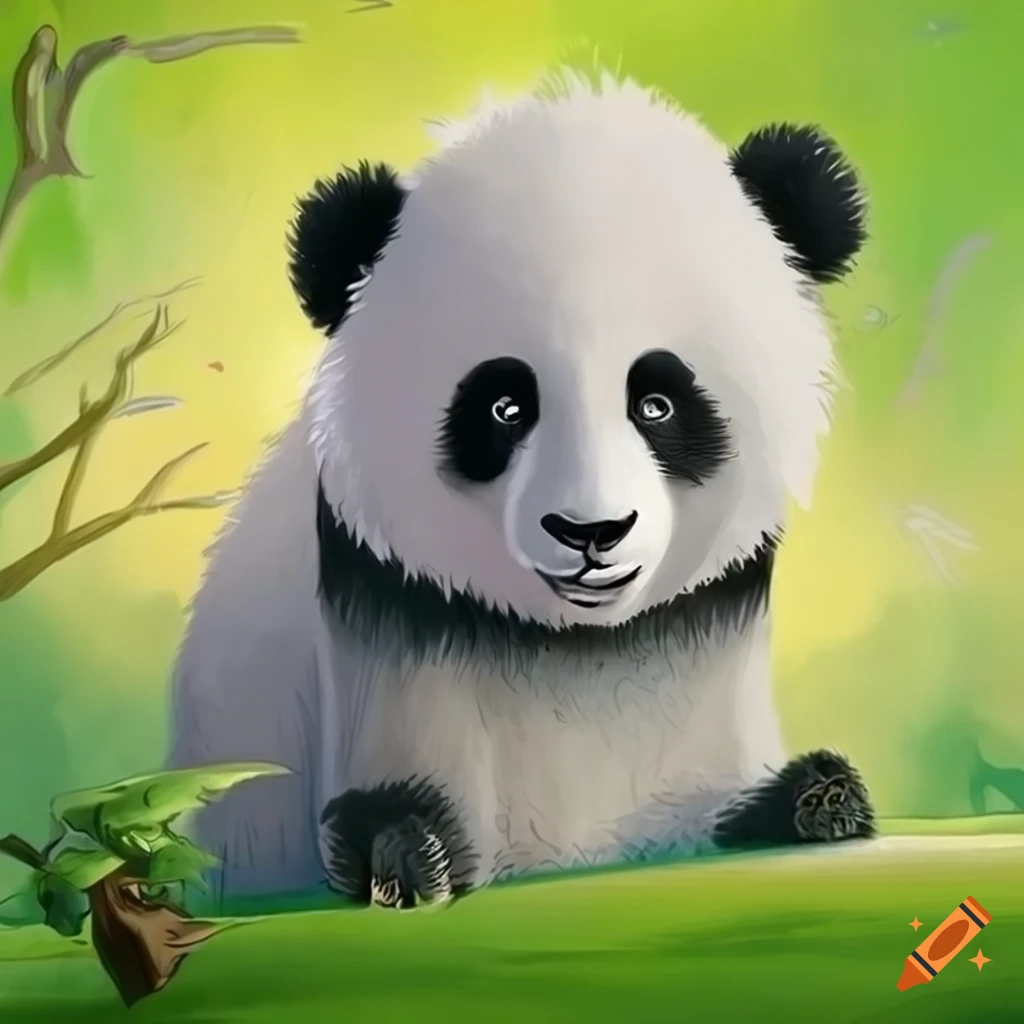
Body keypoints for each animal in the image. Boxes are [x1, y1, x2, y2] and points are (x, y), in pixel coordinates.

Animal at [169, 68, 876, 909]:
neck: (573, 641)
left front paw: (817, 797)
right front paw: (401, 849)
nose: (591, 532)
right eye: (505, 407)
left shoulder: (709, 642)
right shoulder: (388, 620)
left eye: (657, 402)